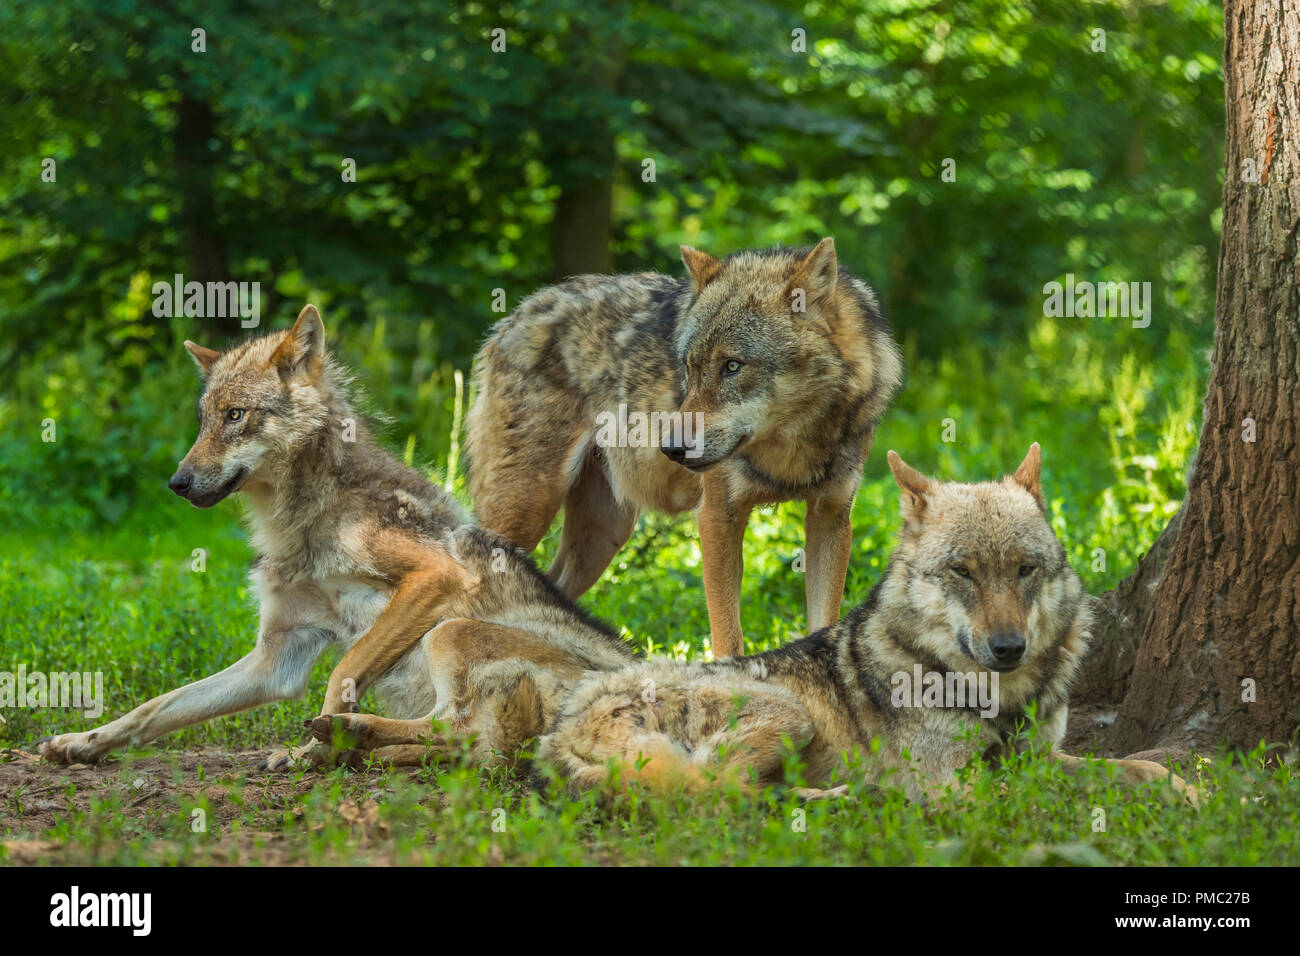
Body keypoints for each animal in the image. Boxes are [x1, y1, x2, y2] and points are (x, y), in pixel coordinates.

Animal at [37, 305, 635, 769]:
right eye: (205, 420)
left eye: (236, 416)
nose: (177, 483)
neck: (302, 520)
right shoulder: (277, 658)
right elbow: (158, 706)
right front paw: (83, 742)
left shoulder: (437, 576)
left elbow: (342, 674)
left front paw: (313, 749)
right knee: (465, 743)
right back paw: (365, 746)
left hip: (451, 631)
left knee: (463, 733)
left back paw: (347, 739)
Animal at [308, 444, 1196, 804]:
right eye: (962, 573)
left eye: (1024, 571)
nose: (1008, 647)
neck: (994, 699)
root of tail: (571, 724)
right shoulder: (956, 782)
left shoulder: (1043, 753)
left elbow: (1130, 768)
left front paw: (1189, 783)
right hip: (781, 714)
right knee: (725, 793)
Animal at [466, 238, 903, 659]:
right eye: (690, 368)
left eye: (732, 366)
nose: (671, 449)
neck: (794, 445)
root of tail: (513, 317)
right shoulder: (717, 516)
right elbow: (729, 639)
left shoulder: (830, 518)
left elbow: (824, 623)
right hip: (527, 510)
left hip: (603, 534)